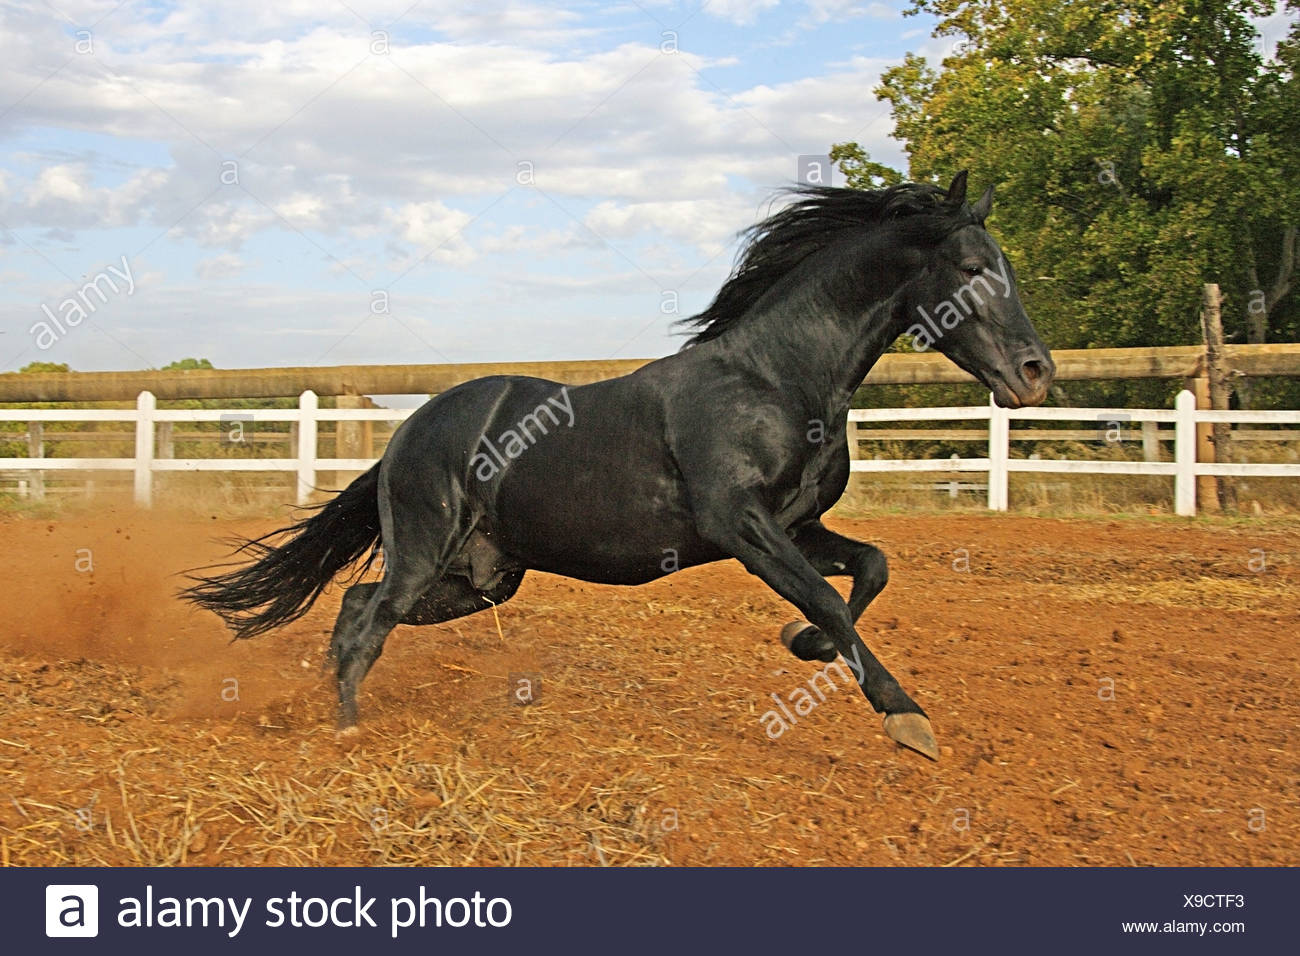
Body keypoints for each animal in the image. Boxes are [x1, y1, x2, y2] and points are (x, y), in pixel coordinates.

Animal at [181, 171, 1055, 760]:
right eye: (973, 266)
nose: (1037, 373)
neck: (775, 378)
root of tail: (407, 433)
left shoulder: (800, 523)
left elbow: (869, 570)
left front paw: (799, 642)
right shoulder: (740, 523)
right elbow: (833, 602)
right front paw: (908, 720)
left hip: (483, 578)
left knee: (356, 608)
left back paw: (339, 714)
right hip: (428, 552)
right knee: (366, 620)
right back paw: (346, 734)